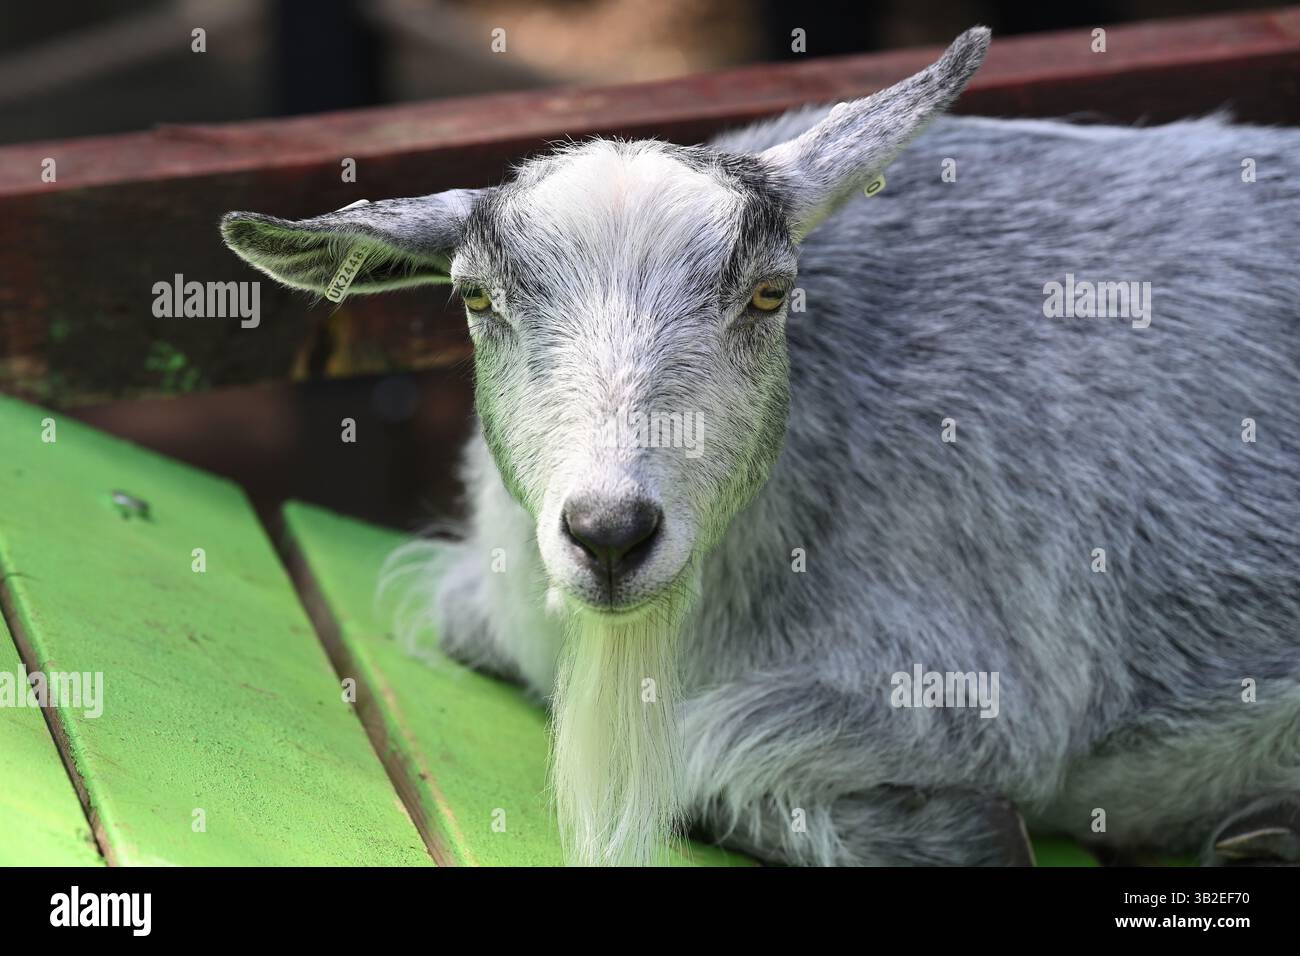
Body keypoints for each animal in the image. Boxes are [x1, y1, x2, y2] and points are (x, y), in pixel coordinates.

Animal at [222, 27, 1300, 866]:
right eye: (476, 298)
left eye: (769, 293)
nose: (609, 532)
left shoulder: (971, 682)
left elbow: (702, 755)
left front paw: (969, 830)